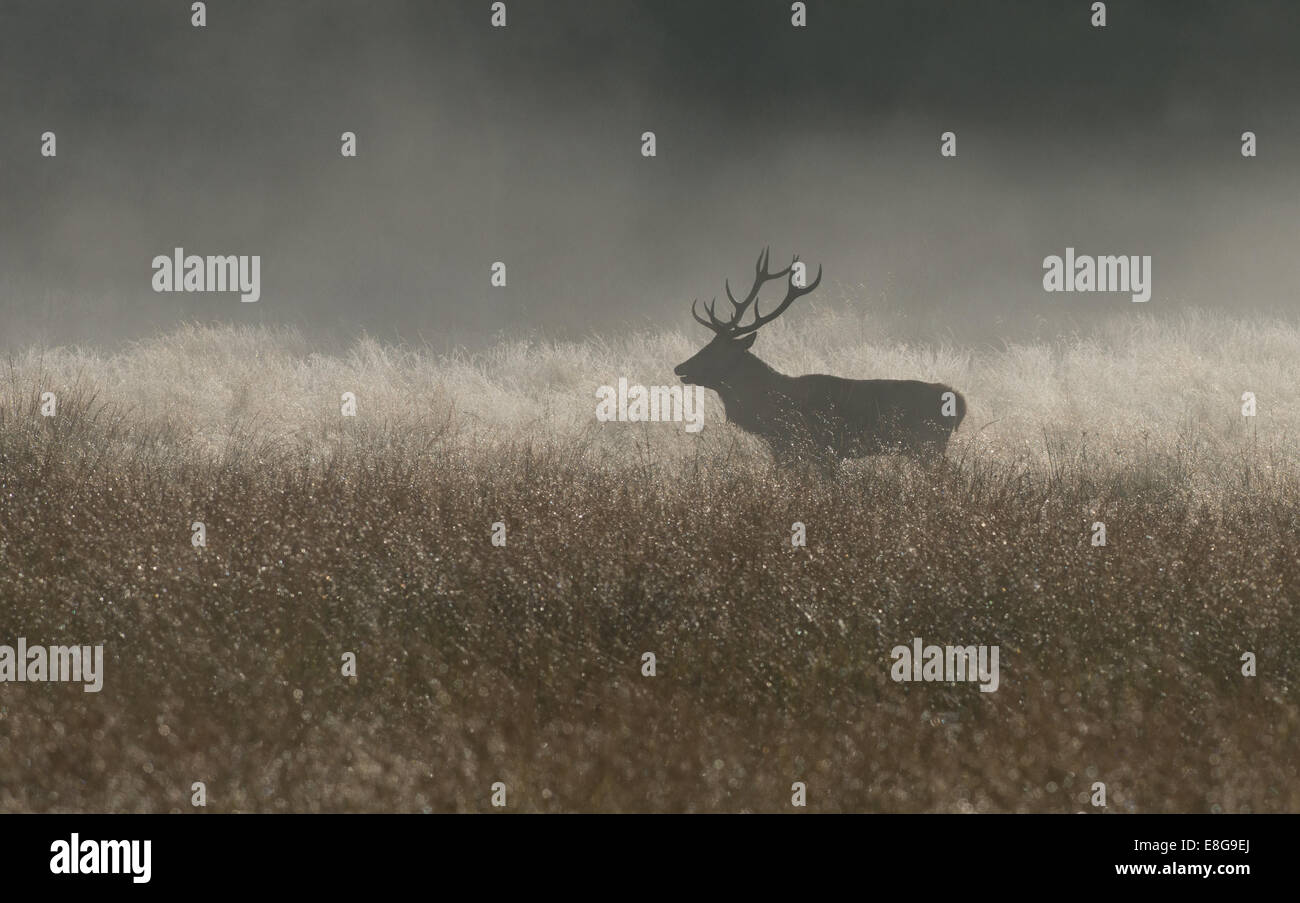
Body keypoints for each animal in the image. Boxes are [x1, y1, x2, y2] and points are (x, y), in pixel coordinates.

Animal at [674, 248, 966, 471]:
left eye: (716, 351)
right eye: (708, 344)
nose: (680, 367)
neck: (771, 412)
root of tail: (958, 400)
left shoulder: (815, 447)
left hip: (928, 444)